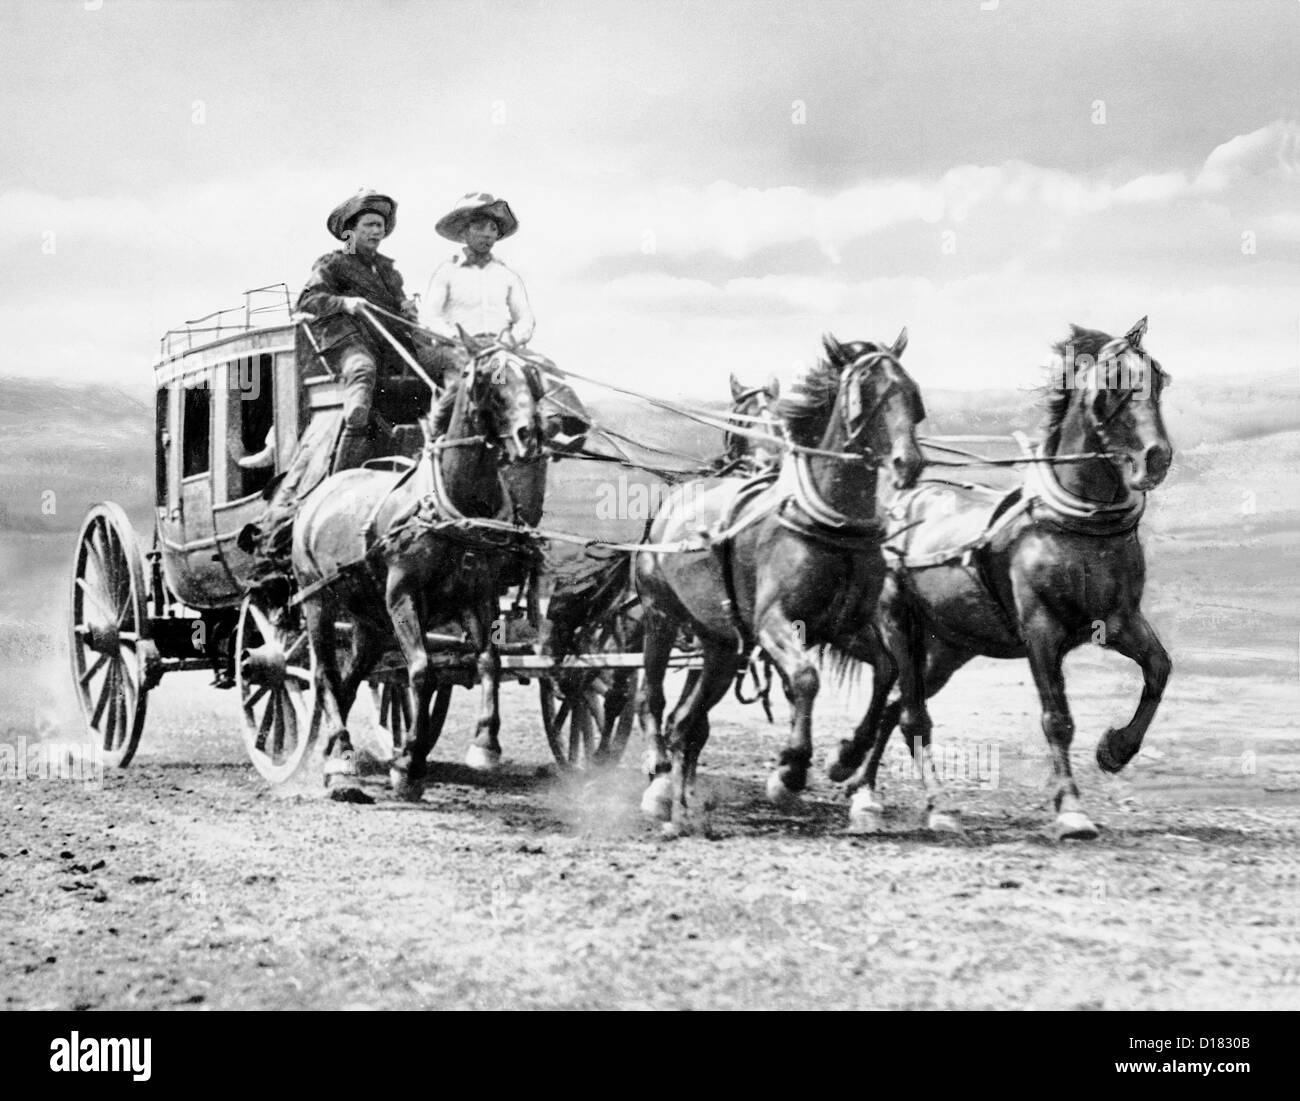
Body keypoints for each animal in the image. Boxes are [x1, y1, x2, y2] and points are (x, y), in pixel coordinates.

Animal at [289, 340, 543, 805]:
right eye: (491, 380)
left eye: (532, 379)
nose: (529, 436)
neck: (452, 507)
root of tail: (317, 494)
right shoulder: (402, 595)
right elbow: (422, 670)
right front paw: (407, 765)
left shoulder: (477, 596)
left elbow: (489, 661)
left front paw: (484, 745)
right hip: (317, 599)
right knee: (324, 675)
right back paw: (342, 763)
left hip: (369, 620)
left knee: (350, 679)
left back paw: (336, 754)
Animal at [634, 331, 930, 831]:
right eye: (866, 394)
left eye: (910, 393)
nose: (907, 462)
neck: (831, 521)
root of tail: (672, 504)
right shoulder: (775, 623)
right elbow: (806, 680)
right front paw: (790, 770)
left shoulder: (844, 626)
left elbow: (887, 670)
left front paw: (844, 758)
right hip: (660, 616)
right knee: (651, 698)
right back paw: (657, 780)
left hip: (721, 647)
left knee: (688, 722)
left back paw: (682, 804)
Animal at [832, 318, 1180, 842]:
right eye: (1111, 384)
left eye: (1158, 379)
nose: (1155, 458)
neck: (1078, 527)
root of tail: (899, 506)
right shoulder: (1041, 630)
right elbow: (1057, 718)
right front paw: (1071, 809)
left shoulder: (1119, 621)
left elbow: (1158, 669)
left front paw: (1115, 749)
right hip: (899, 625)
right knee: (910, 712)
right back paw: (884, 795)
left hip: (948, 648)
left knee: (895, 706)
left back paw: (864, 791)